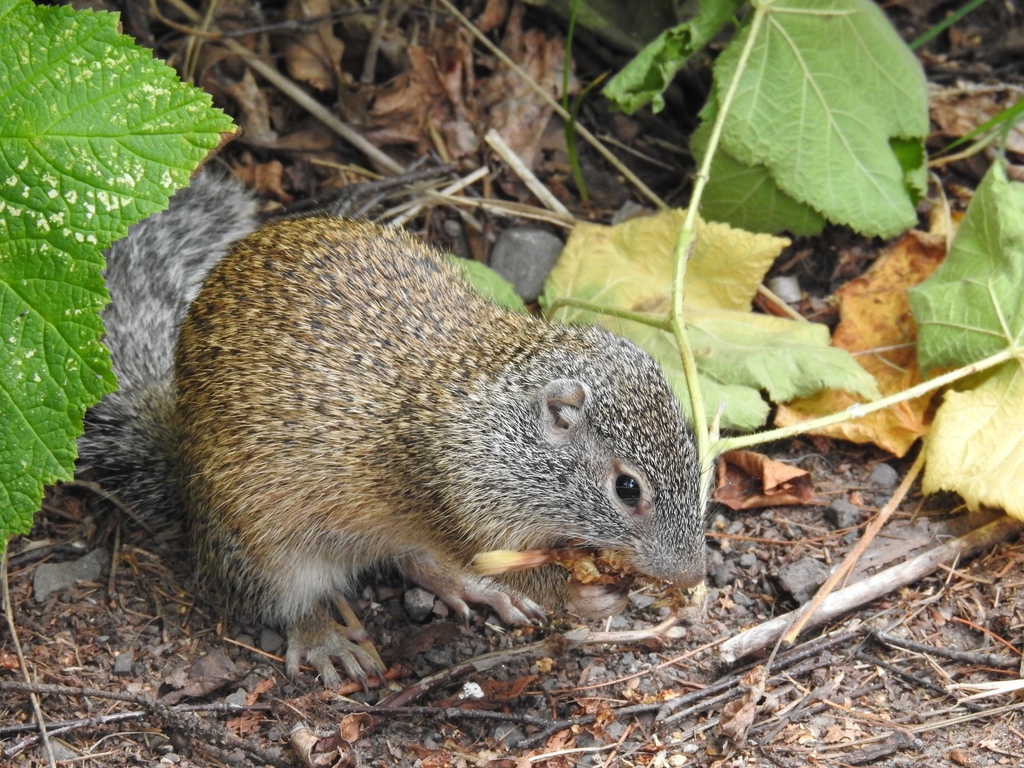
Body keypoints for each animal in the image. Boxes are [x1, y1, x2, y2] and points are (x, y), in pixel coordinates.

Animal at [77, 170, 708, 686]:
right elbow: (514, 568)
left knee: (412, 558)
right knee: (285, 603)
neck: (498, 423)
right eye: (627, 488)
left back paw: (474, 589)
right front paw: (585, 595)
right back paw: (327, 640)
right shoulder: (456, 505)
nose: (693, 573)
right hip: (261, 548)